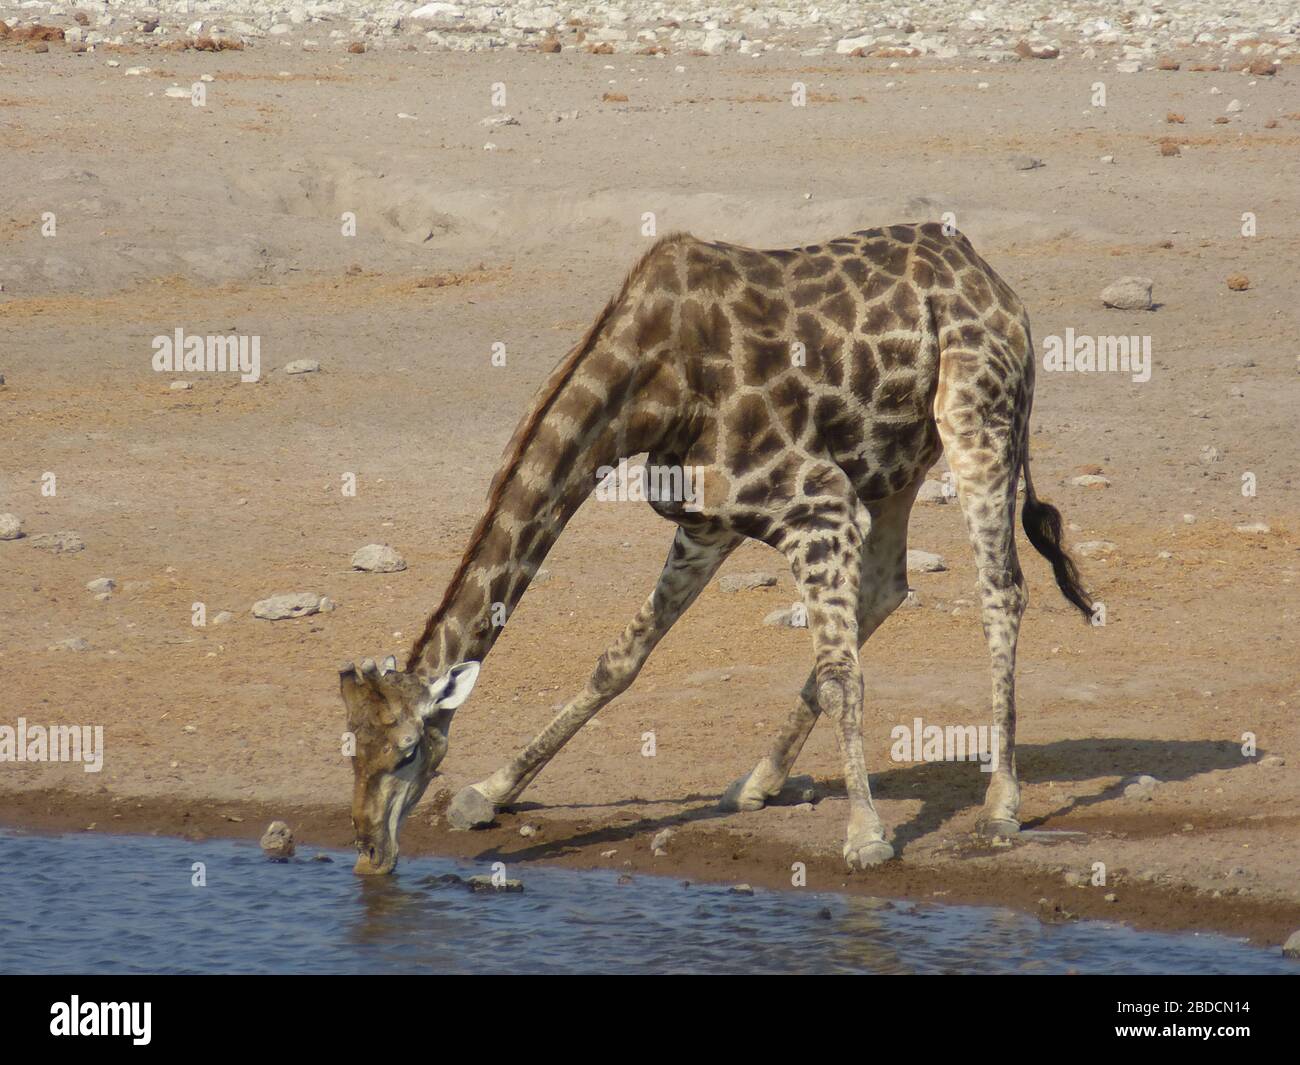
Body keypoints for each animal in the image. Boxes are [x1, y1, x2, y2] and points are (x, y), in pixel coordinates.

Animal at [341, 222, 1092, 875]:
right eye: (350, 749)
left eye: (408, 752)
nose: (369, 853)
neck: (648, 385)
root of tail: (998, 286)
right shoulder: (710, 520)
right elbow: (620, 660)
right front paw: (491, 790)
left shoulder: (817, 503)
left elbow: (840, 675)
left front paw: (867, 836)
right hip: (892, 465)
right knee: (888, 588)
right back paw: (755, 781)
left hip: (977, 422)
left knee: (1001, 591)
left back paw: (1000, 804)